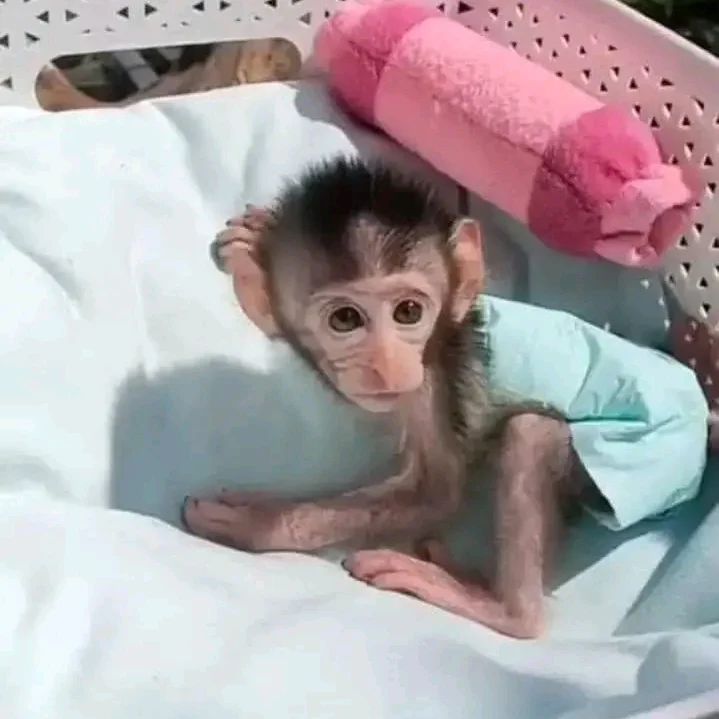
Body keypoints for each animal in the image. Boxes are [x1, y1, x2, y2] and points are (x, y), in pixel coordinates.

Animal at [181, 157, 622, 639]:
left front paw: (259, 523)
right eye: (346, 319)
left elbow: (435, 491)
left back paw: (502, 609)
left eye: (408, 312)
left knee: (531, 432)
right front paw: (251, 250)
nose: (386, 362)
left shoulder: (433, 379)